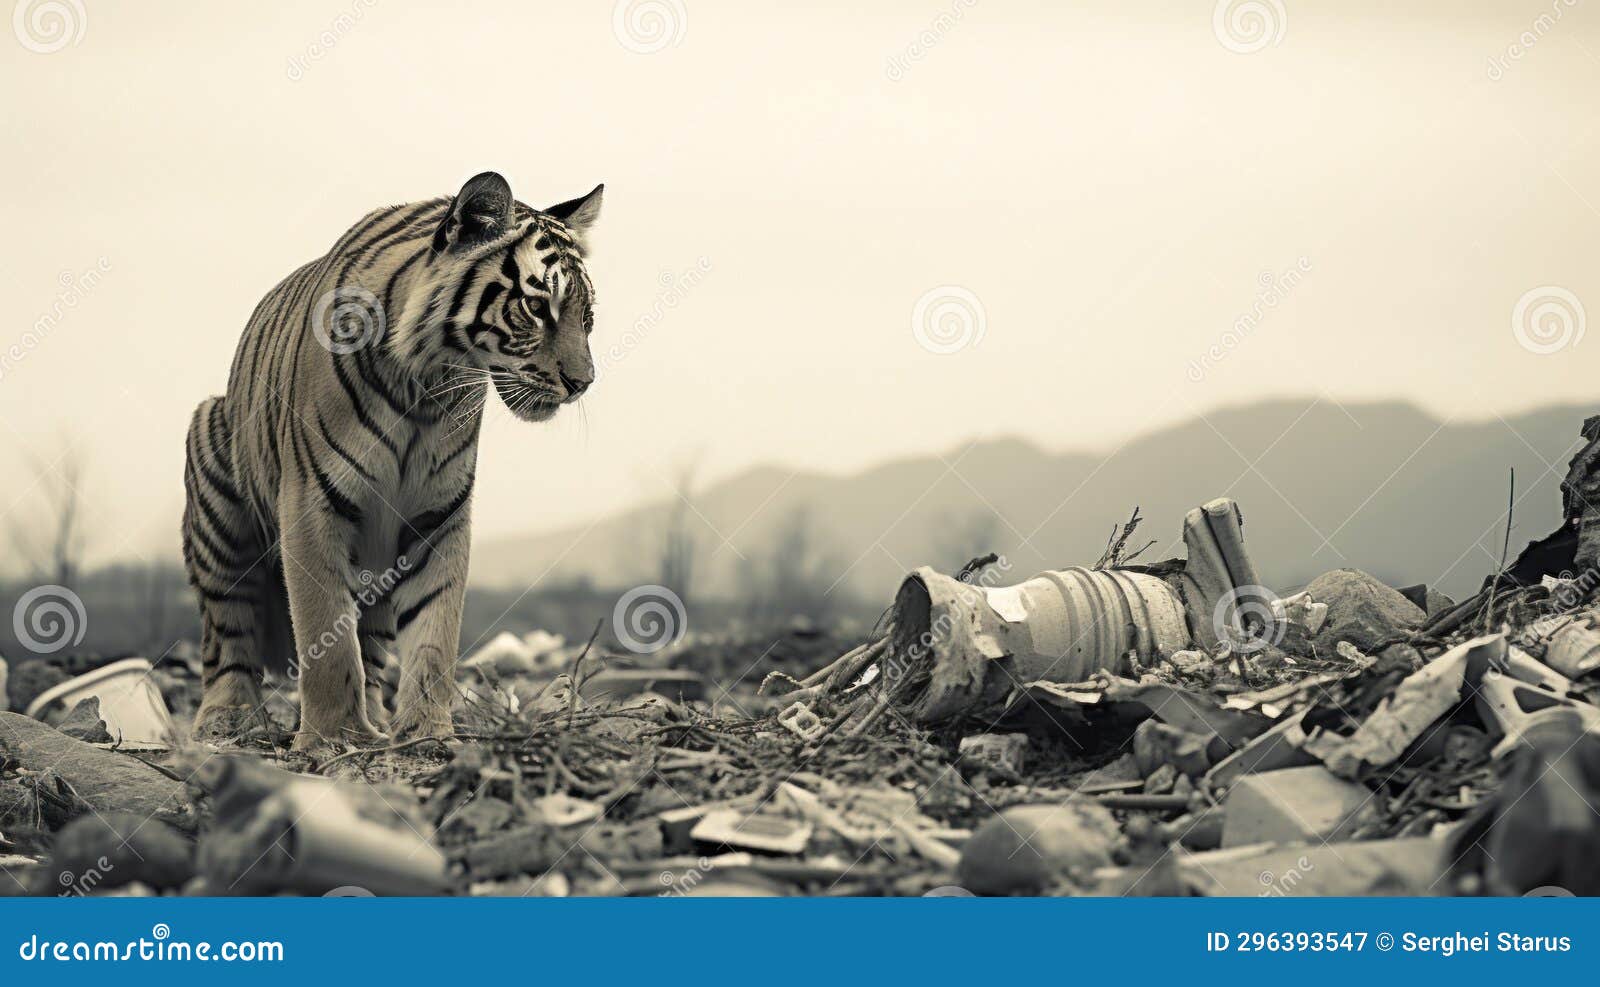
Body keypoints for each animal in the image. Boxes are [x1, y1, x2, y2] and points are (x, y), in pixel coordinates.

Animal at [181, 172, 602, 750]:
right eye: (538, 308)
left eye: (588, 316)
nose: (583, 382)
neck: (426, 390)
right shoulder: (311, 505)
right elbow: (325, 635)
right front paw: (333, 737)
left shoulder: (439, 515)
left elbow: (435, 634)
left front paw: (426, 732)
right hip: (218, 498)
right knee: (227, 632)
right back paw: (226, 719)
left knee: (372, 642)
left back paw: (378, 719)